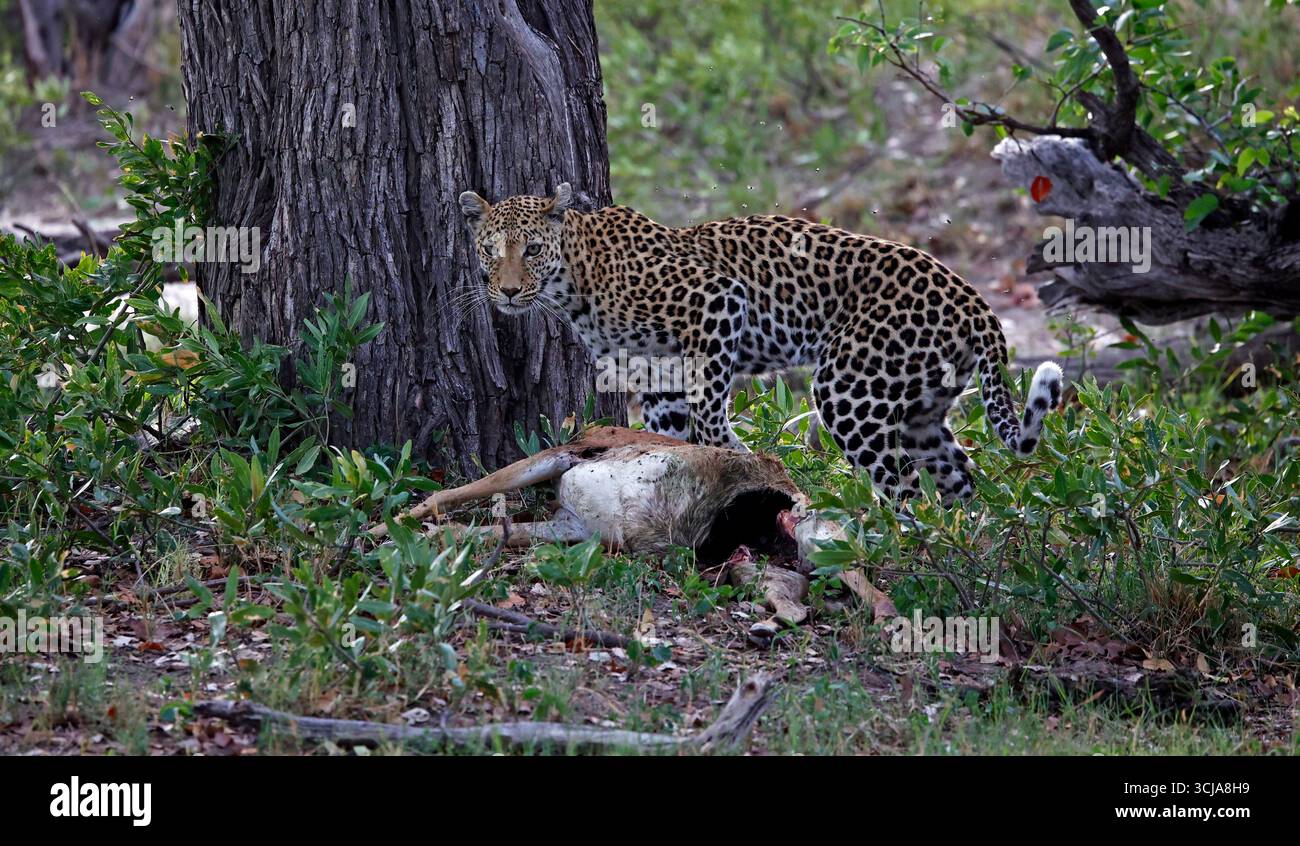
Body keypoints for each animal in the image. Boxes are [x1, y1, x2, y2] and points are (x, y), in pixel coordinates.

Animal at [457, 182, 1063, 501]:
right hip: (919, 409)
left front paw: (741, 460)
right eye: (490, 249)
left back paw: (896, 547)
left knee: (903, 486)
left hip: (848, 391)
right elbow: (673, 432)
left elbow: (709, 408)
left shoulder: (715, 299)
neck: (576, 278)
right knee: (957, 479)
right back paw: (967, 546)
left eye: (532, 249)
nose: (506, 290)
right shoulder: (656, 375)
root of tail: (973, 299)